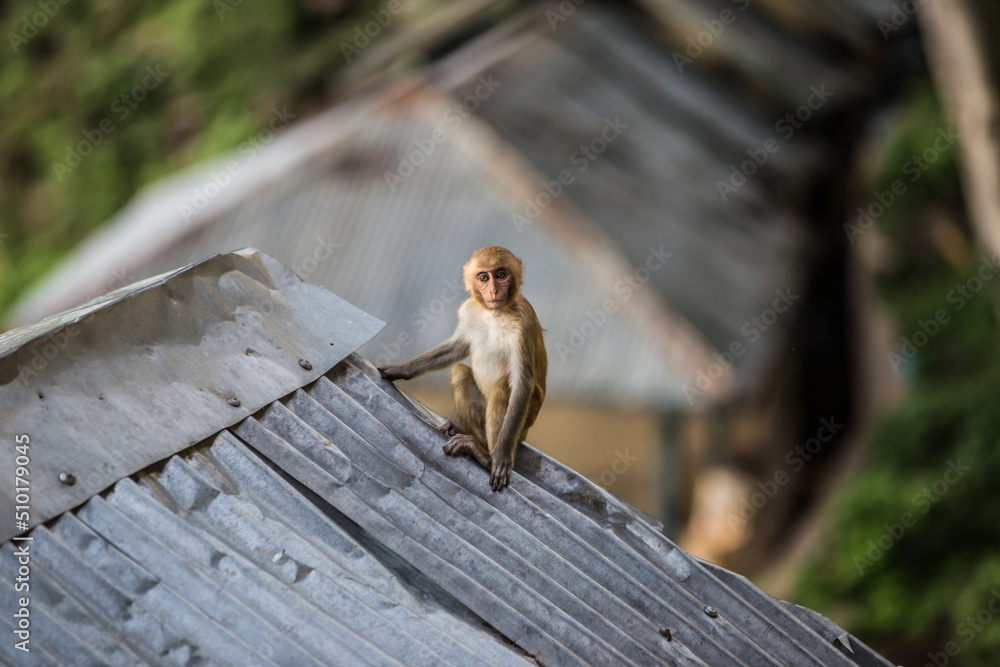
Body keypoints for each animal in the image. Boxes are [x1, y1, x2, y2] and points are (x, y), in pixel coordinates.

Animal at [379, 246, 546, 492]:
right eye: (483, 277)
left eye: (501, 275)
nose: (493, 290)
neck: (494, 314)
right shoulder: (469, 311)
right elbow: (455, 349)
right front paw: (401, 369)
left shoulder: (522, 325)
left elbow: (522, 383)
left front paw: (501, 457)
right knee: (459, 372)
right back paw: (472, 439)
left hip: (523, 424)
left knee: (502, 390)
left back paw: (486, 457)